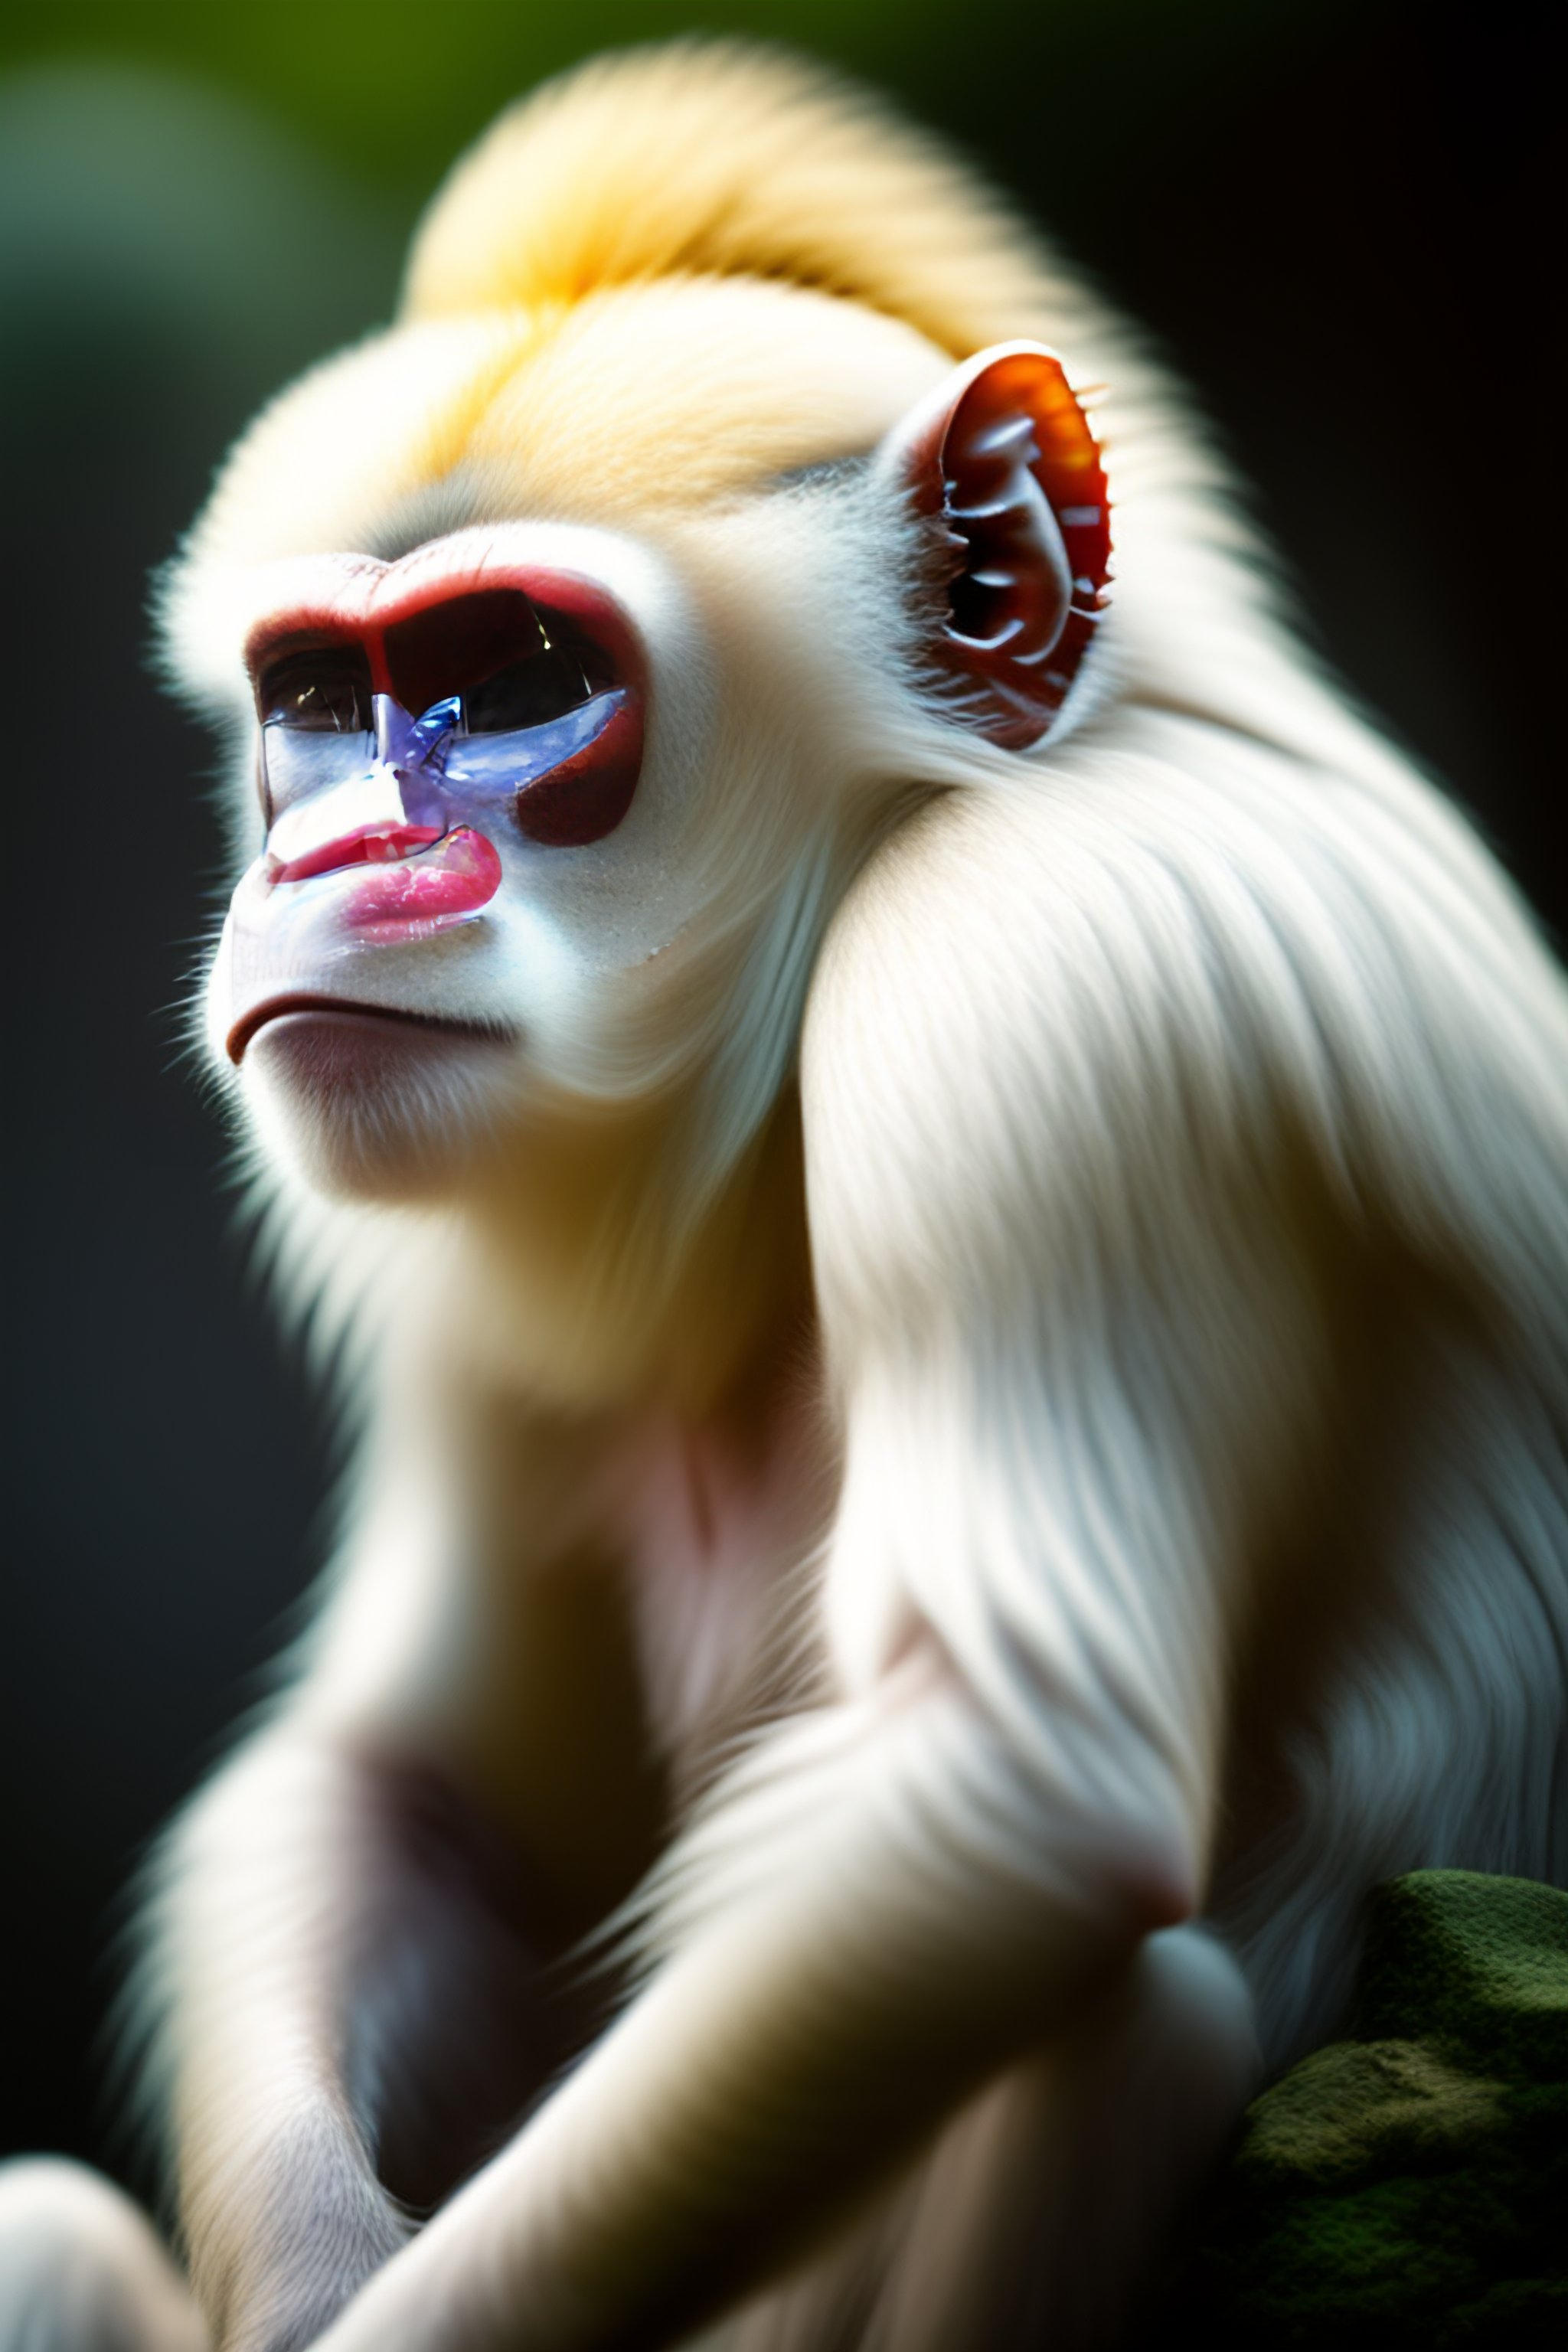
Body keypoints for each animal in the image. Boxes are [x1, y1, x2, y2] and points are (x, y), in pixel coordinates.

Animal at [2, 38, 1565, 2352]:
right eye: (312, 700)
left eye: (513, 672)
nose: (321, 862)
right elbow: (420, 1783)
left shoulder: (1037, 962)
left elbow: (1009, 1783)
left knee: (1143, 2013)